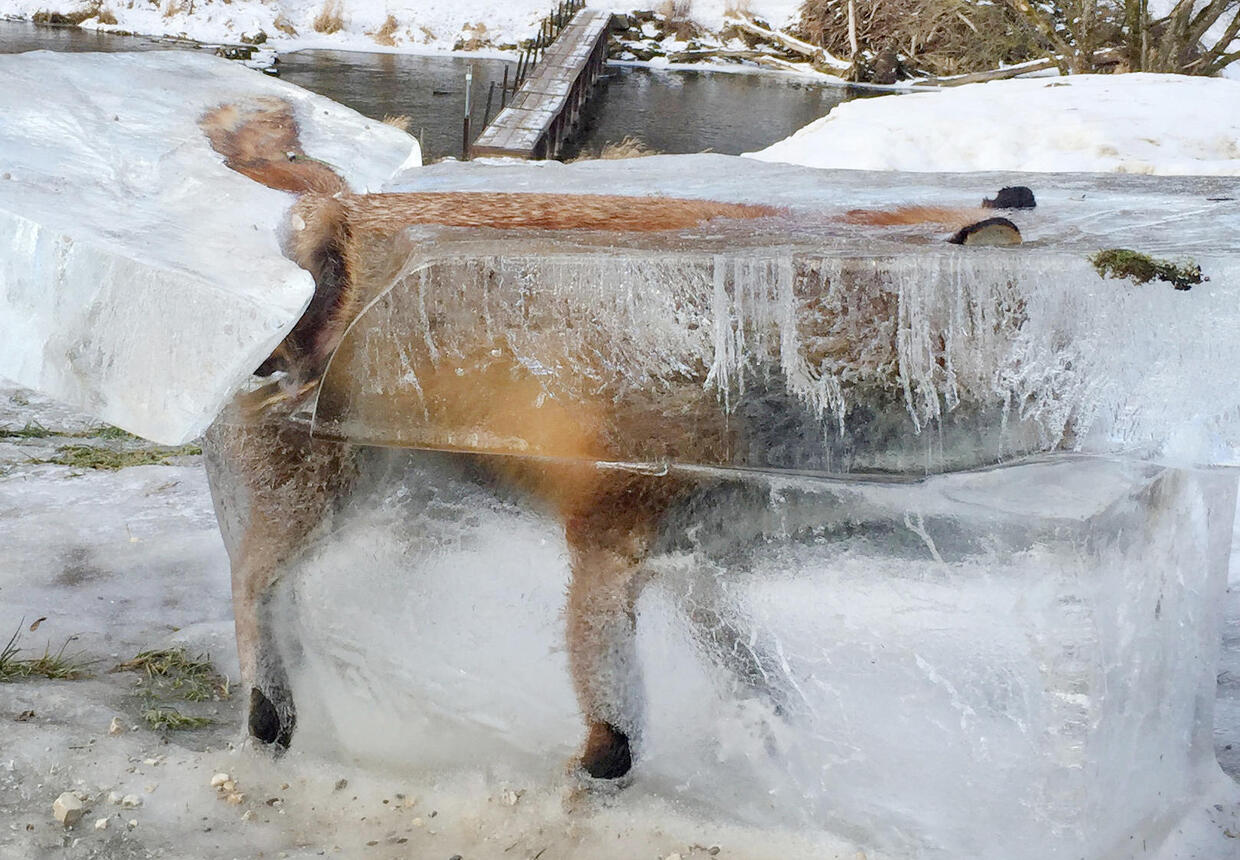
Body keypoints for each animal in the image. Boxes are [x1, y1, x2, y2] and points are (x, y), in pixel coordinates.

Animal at [200, 97, 1032, 780]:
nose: (1016, 191)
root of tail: (340, 208)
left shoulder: (703, 557)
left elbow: (755, 673)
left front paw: (767, 740)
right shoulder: (609, 534)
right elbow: (617, 729)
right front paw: (599, 779)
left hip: (415, 509)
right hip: (323, 496)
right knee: (253, 584)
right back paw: (271, 714)